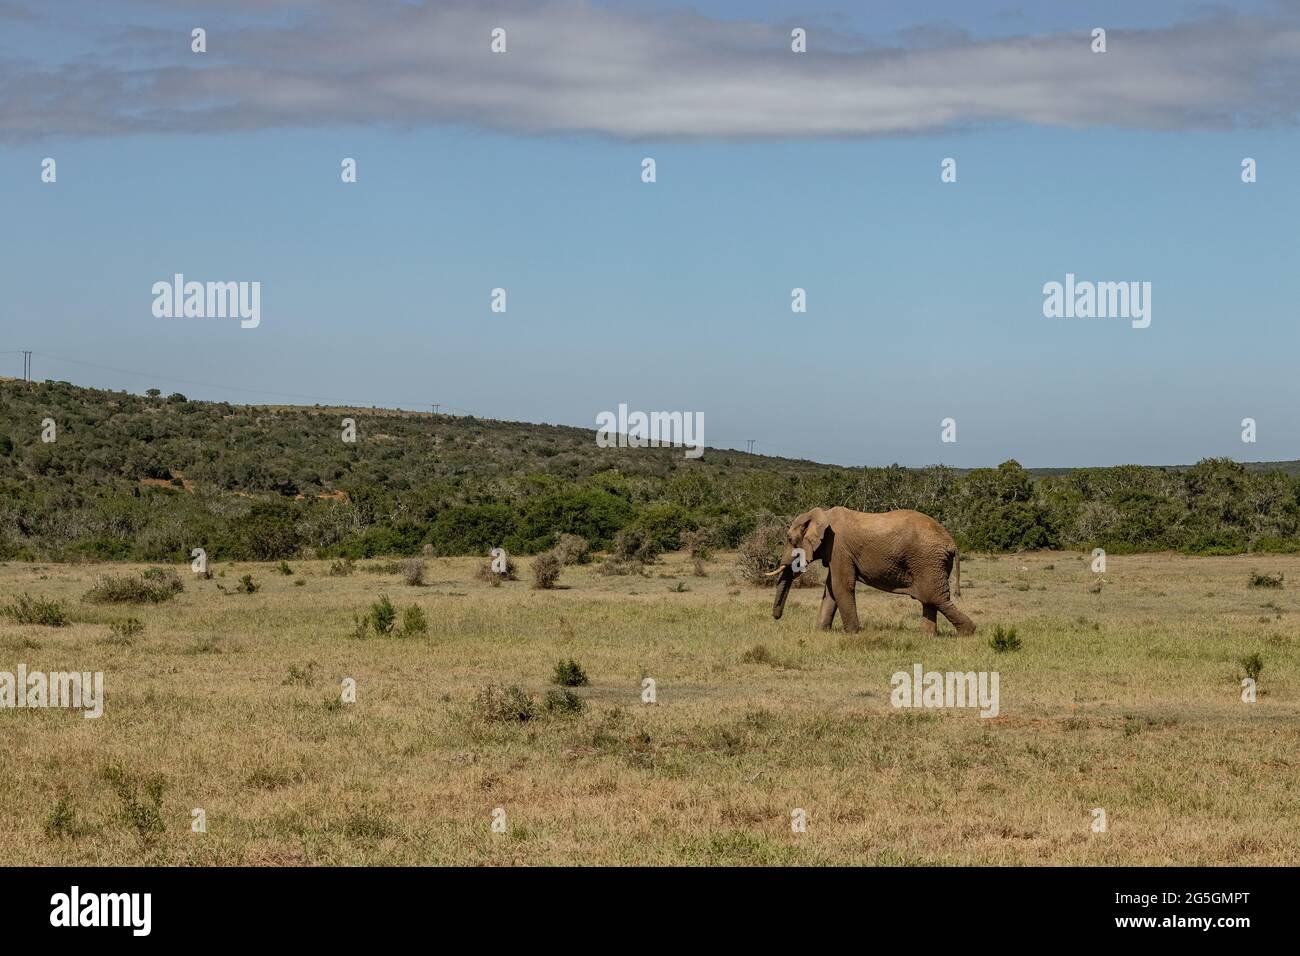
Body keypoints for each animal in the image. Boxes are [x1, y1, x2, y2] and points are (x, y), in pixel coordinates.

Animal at [768, 506, 975, 636]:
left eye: (789, 539)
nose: (777, 617)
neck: (822, 515)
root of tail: (952, 542)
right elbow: (831, 590)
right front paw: (821, 631)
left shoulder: (839, 548)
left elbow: (841, 586)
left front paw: (853, 633)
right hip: (931, 563)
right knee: (930, 599)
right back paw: (926, 636)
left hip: (928, 560)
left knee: (935, 597)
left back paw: (969, 632)